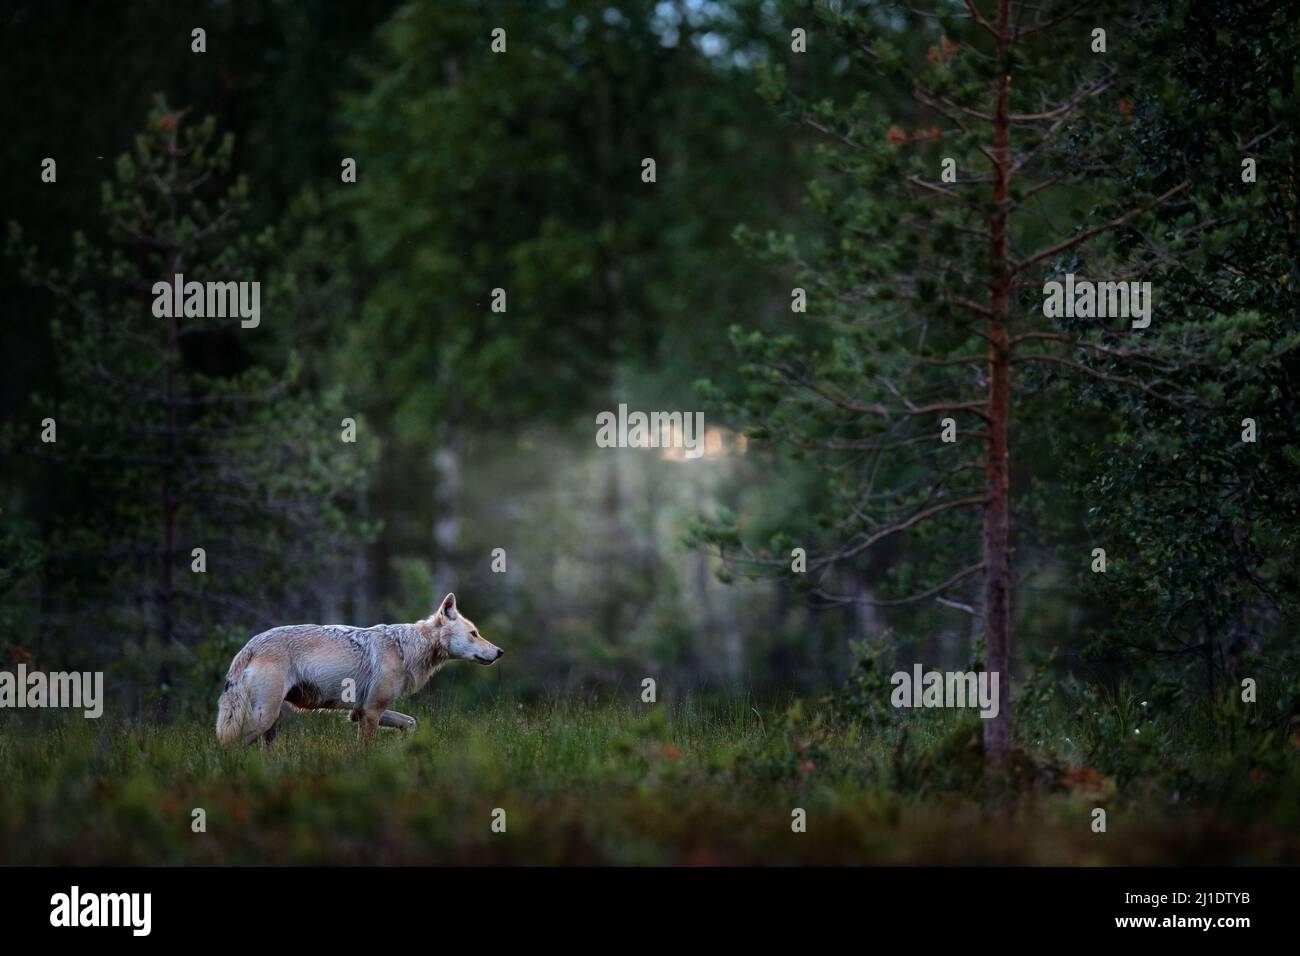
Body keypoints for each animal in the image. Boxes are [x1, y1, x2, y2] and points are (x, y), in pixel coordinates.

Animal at [215, 593, 503, 746]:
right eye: (474, 633)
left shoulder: (361, 711)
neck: (405, 648)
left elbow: (411, 723)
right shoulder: (371, 711)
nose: (500, 651)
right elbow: (365, 751)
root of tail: (251, 644)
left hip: (271, 725)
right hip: (263, 718)